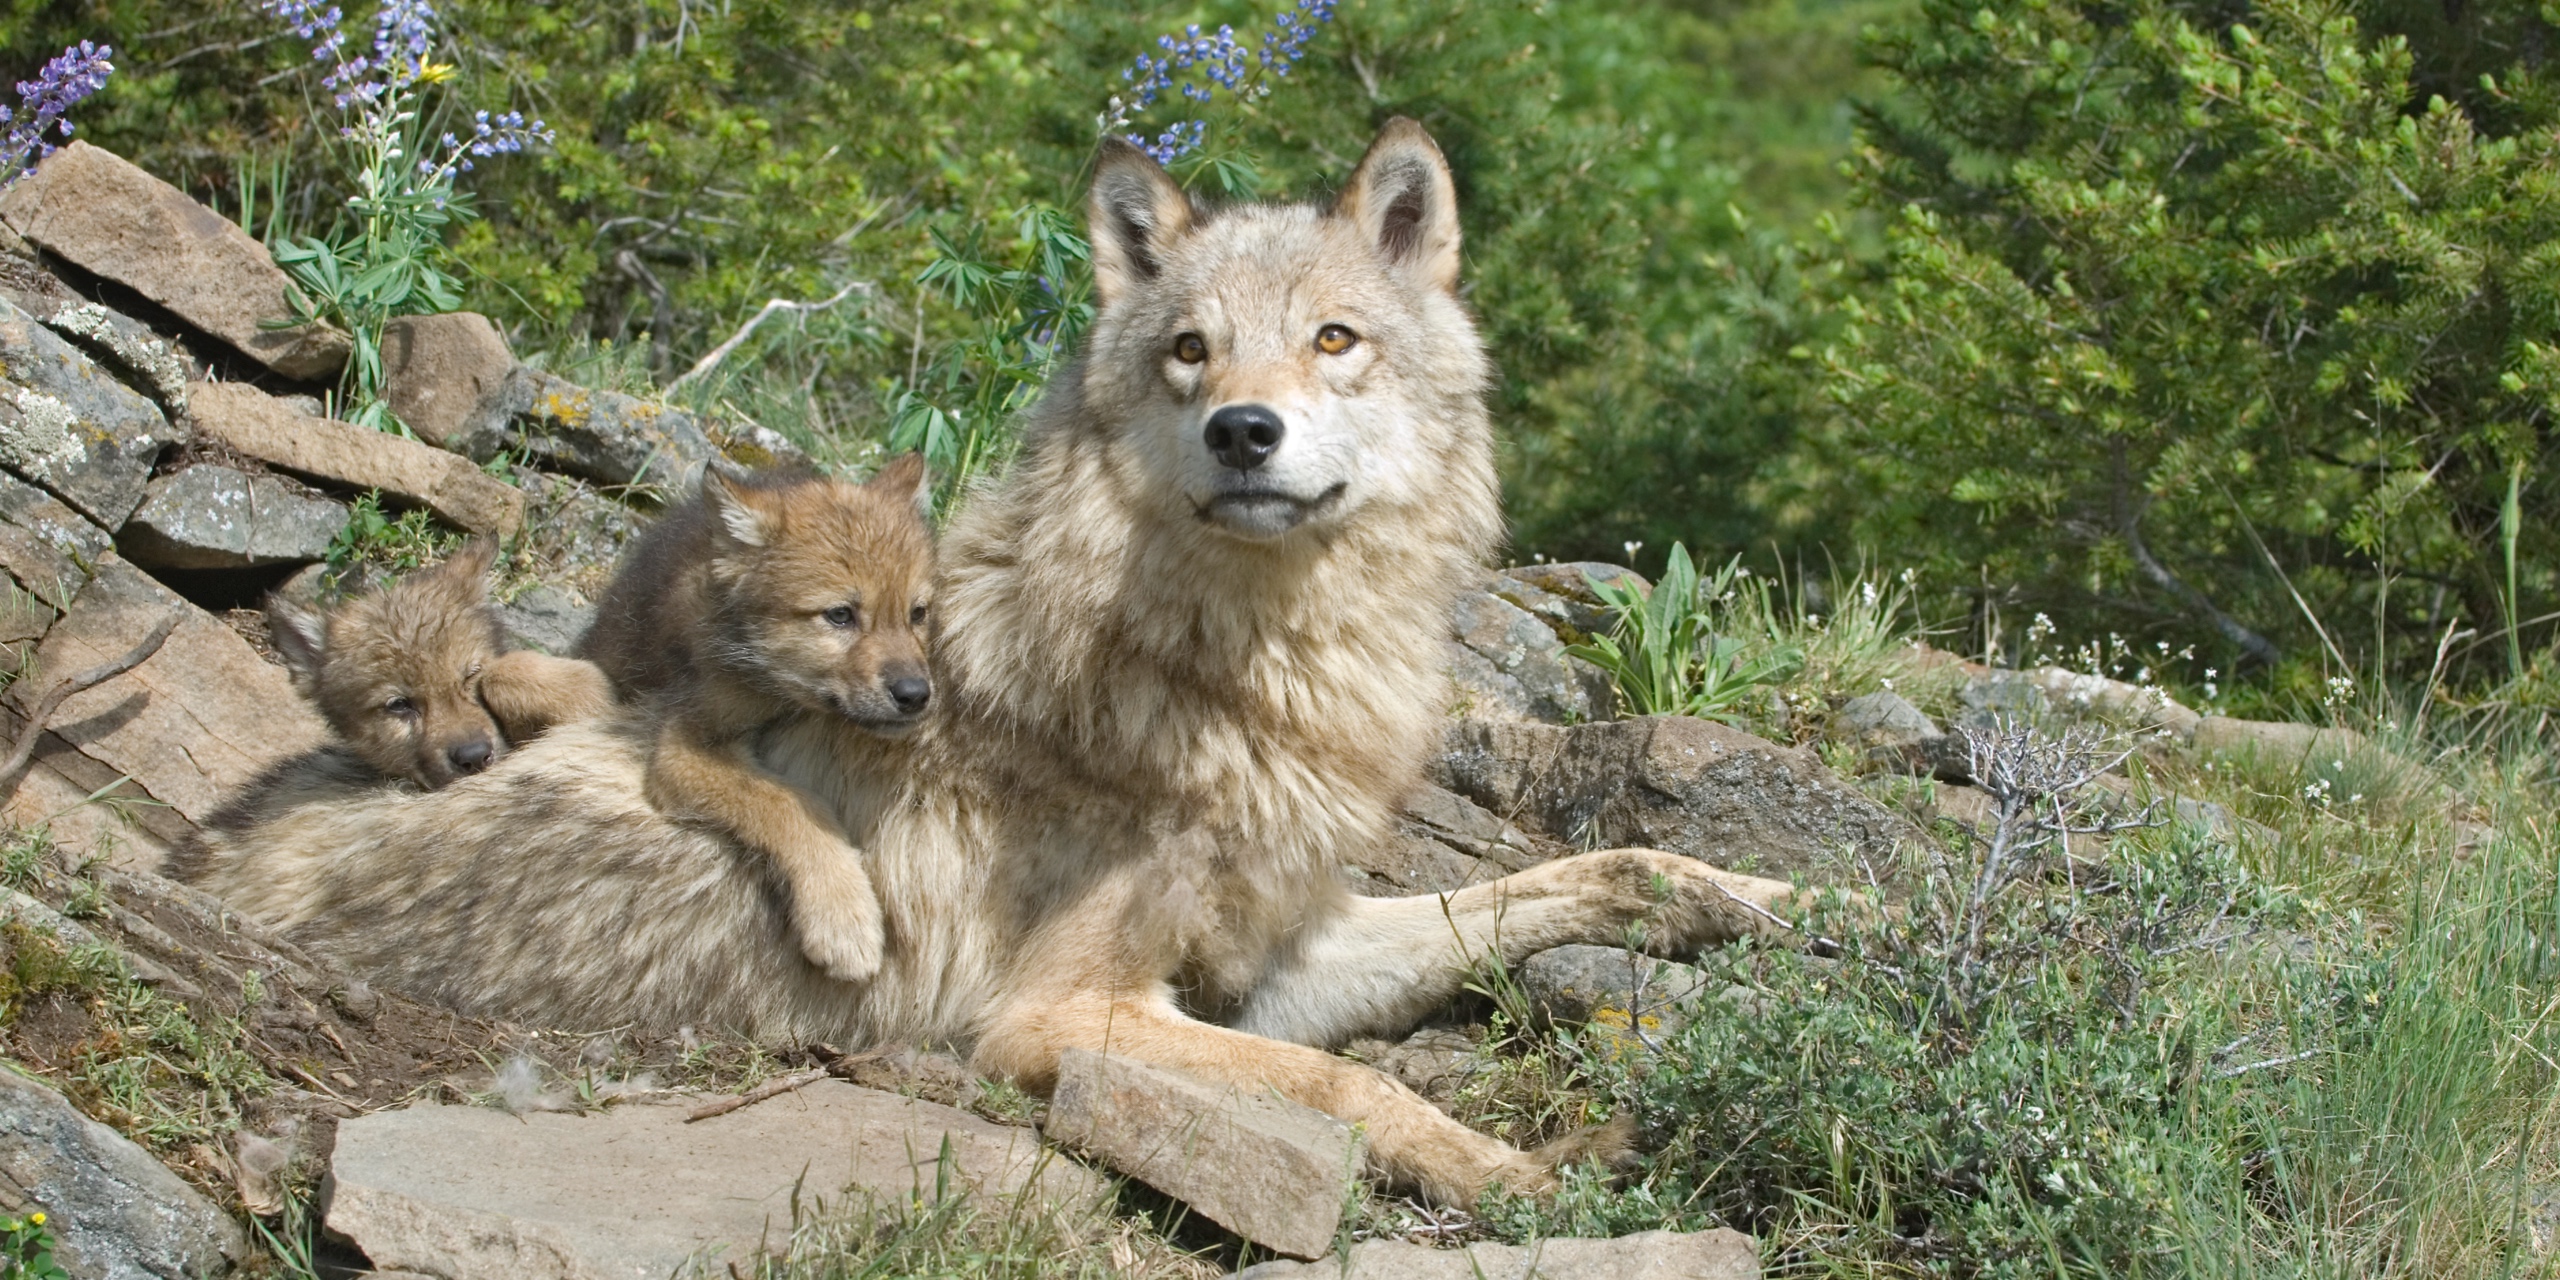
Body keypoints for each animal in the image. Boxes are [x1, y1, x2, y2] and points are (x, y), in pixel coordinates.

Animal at [575, 459, 935, 983]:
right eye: (840, 615)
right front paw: (843, 913)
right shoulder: (683, 745)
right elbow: (785, 804)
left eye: (918, 613)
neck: (773, 685)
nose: (915, 695)